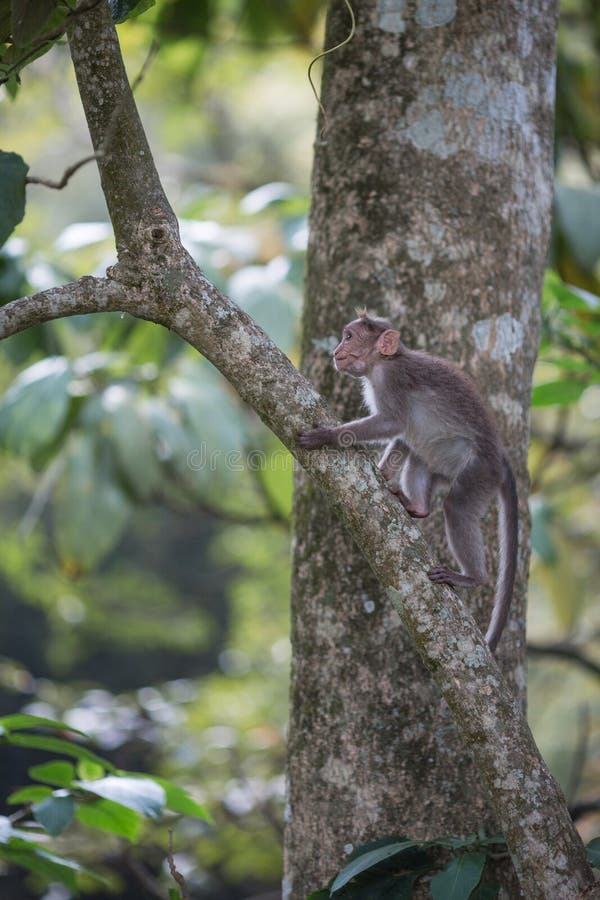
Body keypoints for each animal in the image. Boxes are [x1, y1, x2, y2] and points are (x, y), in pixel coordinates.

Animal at [297, 311, 518, 652]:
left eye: (349, 337)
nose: (336, 351)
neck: (382, 362)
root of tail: (500, 456)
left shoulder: (392, 380)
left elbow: (393, 422)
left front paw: (328, 437)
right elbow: (401, 435)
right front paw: (383, 473)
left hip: (480, 471)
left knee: (456, 506)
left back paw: (472, 578)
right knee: (420, 456)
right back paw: (417, 507)